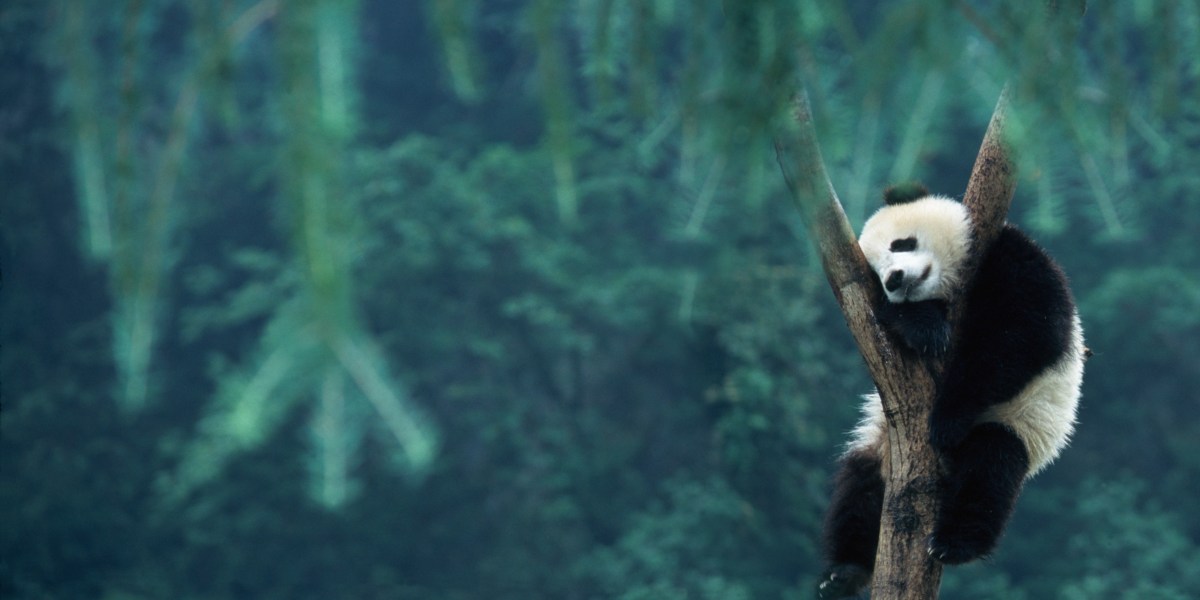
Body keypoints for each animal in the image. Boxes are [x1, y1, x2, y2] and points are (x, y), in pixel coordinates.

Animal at [816, 183, 1085, 599]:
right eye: (875, 275)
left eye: (901, 243)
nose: (894, 280)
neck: (950, 285)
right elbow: (895, 326)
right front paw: (924, 327)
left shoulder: (1012, 257)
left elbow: (1022, 338)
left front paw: (946, 420)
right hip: (881, 445)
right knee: (860, 487)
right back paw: (846, 572)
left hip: (1021, 422)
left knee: (989, 468)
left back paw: (954, 543)